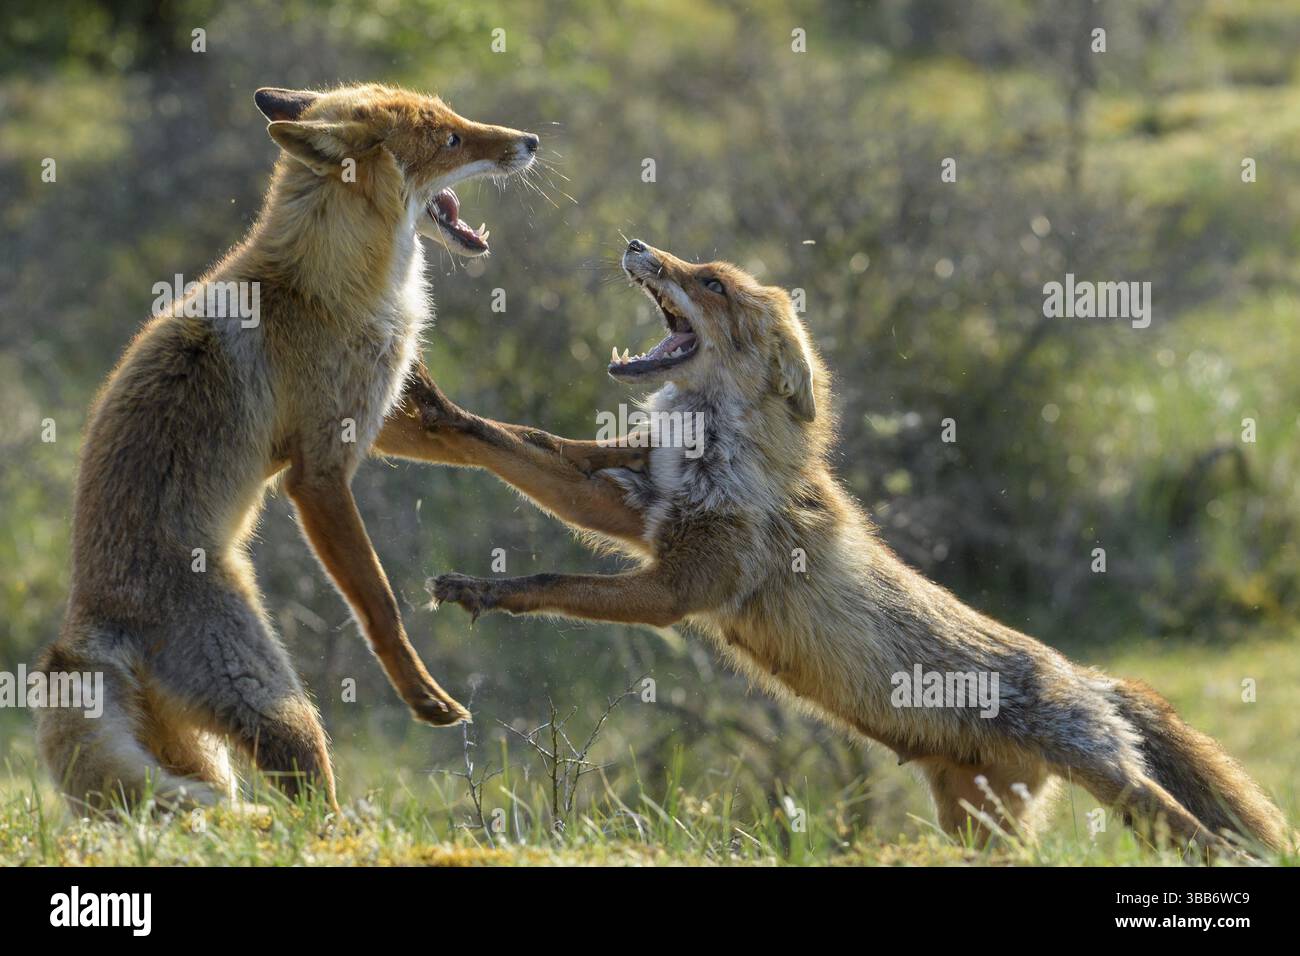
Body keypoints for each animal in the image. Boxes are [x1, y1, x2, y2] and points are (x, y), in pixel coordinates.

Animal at [34, 83, 540, 812]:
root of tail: (84, 628)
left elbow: (481, 437)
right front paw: (422, 695)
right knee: (307, 802)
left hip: (200, 758)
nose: (530, 142)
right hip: (283, 710)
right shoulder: (317, 472)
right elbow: (380, 602)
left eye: (454, 118)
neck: (328, 286)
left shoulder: (369, 415)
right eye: (449, 139)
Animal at [420, 238, 1289, 854]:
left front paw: (486, 589)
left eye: (712, 283)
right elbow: (516, 444)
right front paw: (436, 410)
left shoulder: (678, 586)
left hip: (1116, 790)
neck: (715, 454)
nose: (636, 242)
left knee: (1210, 840)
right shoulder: (631, 507)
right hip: (980, 825)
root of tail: (1086, 675)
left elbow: (553, 579)